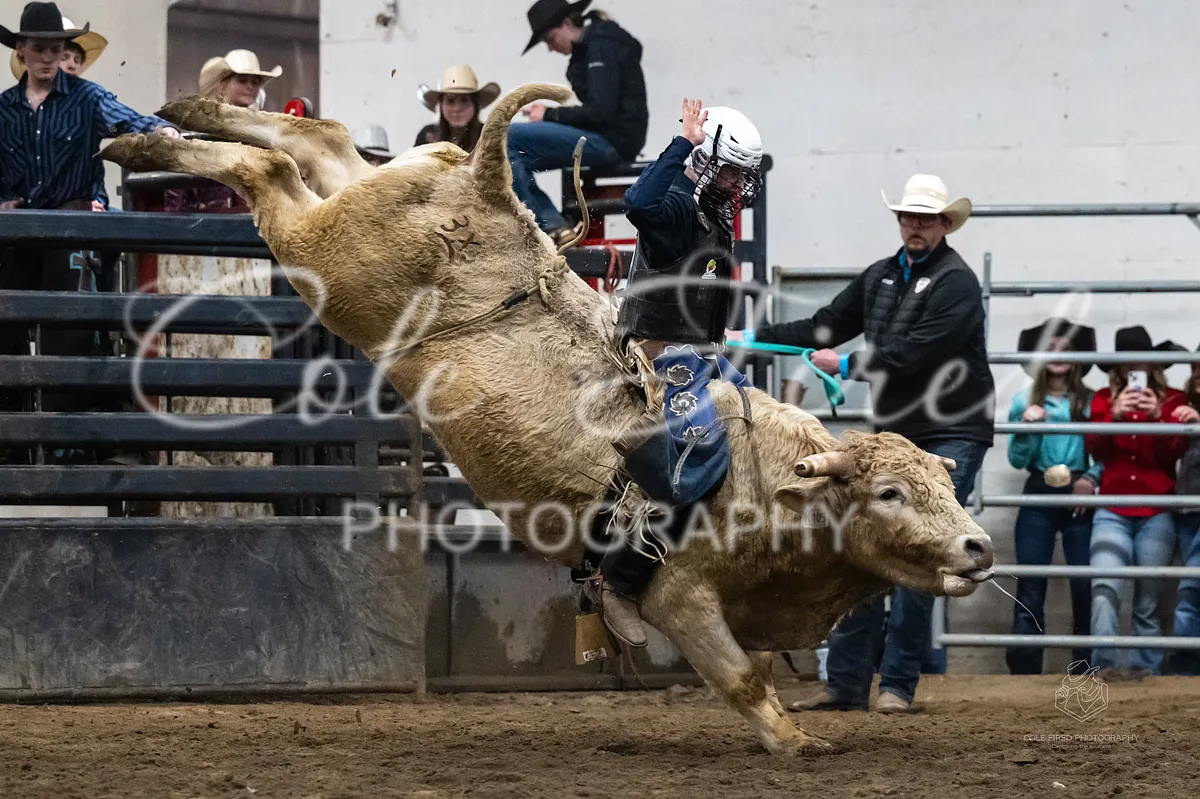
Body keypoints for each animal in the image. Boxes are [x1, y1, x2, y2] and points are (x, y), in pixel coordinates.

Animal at [101, 83, 994, 755]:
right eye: (891, 495)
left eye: (944, 488)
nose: (979, 545)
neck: (775, 489)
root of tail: (491, 185)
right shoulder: (680, 594)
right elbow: (740, 675)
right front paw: (795, 742)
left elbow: (762, 671)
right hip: (329, 261)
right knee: (270, 169)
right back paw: (142, 145)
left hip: (368, 203)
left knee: (313, 138)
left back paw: (168, 120)